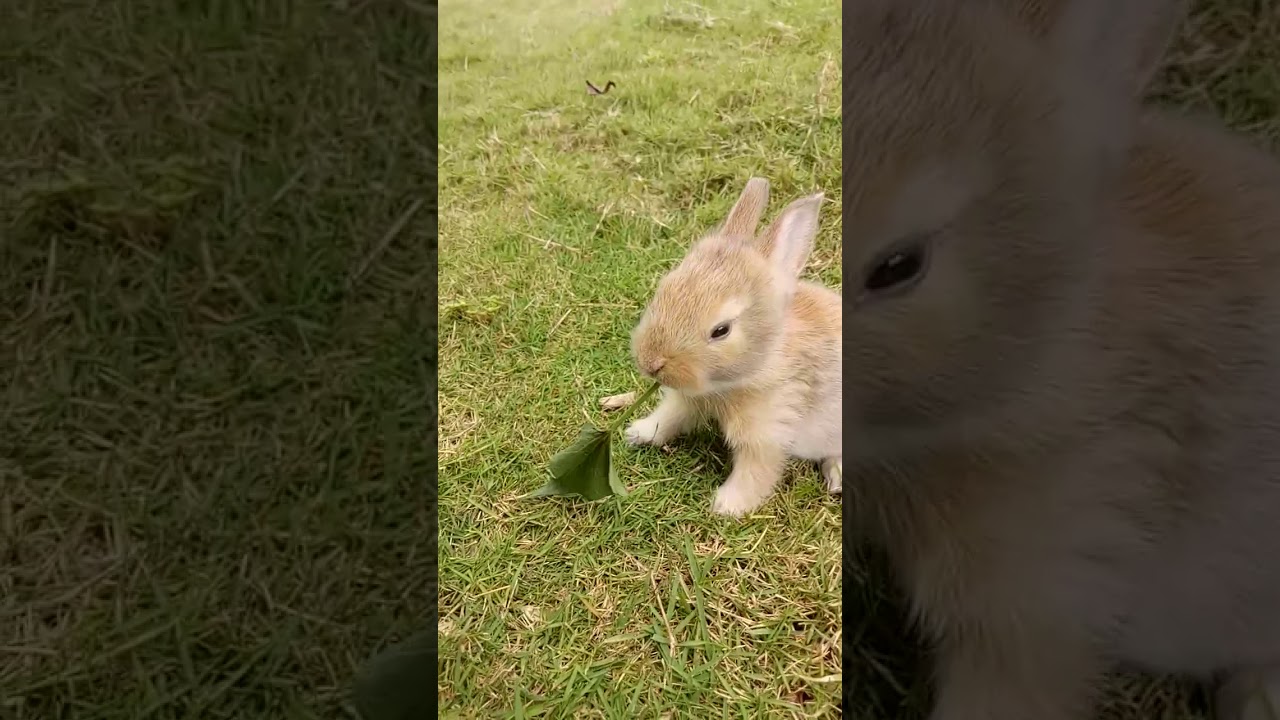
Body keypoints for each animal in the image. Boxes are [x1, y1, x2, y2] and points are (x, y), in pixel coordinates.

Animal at [625, 178, 843, 517]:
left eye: (721, 330)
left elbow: (756, 472)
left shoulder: (768, 430)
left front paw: (725, 505)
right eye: (665, 287)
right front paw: (638, 433)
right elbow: (669, 418)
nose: (651, 362)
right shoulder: (687, 401)